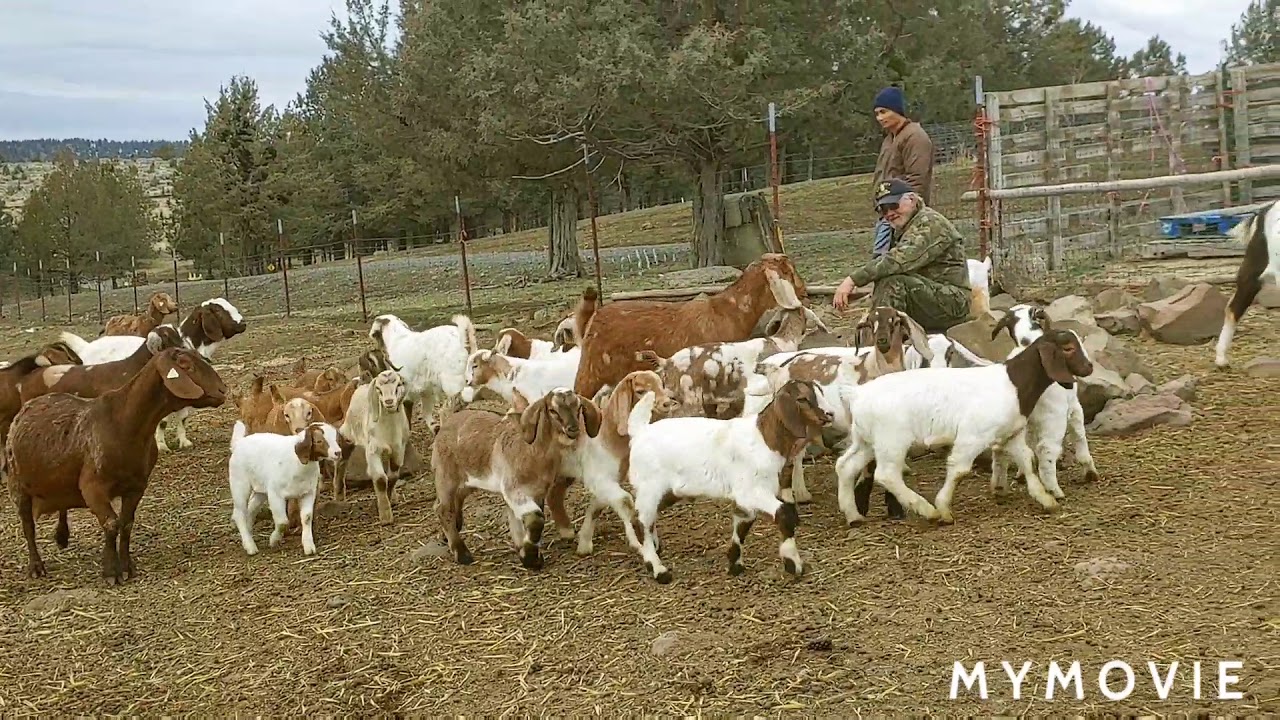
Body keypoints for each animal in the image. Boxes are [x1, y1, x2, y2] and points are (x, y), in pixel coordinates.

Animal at [3, 346, 227, 582]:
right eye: (185, 364)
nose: (223, 390)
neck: (124, 422)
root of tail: (28, 406)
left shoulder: (136, 486)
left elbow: (126, 524)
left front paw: (127, 567)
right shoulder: (92, 487)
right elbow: (111, 524)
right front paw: (111, 571)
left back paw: (62, 537)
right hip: (17, 484)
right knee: (28, 525)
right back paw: (36, 566)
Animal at [227, 420, 341, 556]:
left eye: (335, 437)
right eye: (319, 441)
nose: (338, 452)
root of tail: (238, 443)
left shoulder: (308, 492)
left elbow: (307, 517)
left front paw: (309, 546)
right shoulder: (275, 494)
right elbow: (282, 522)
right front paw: (274, 540)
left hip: (261, 489)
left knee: (251, 508)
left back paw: (247, 538)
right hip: (239, 483)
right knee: (239, 513)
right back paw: (250, 547)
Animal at [431, 387, 600, 570]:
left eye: (579, 407)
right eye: (553, 410)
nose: (573, 429)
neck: (531, 451)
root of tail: (447, 420)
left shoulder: (536, 491)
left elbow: (520, 520)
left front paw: (525, 550)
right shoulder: (514, 489)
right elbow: (535, 520)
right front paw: (531, 559)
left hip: (469, 479)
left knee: (451, 500)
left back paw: (451, 531)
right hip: (446, 474)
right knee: (442, 509)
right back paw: (462, 553)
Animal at [624, 379, 831, 583]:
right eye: (802, 398)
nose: (828, 415)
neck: (764, 438)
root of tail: (640, 431)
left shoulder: (746, 499)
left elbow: (743, 524)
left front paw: (735, 564)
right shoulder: (751, 490)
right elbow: (785, 514)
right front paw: (793, 563)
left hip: (669, 491)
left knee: (647, 519)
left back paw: (655, 548)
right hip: (650, 487)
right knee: (640, 521)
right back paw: (658, 569)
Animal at [833, 330, 1094, 526]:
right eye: (1068, 348)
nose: (1089, 368)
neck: (1014, 383)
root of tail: (857, 394)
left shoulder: (1010, 434)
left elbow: (1027, 460)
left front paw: (1045, 499)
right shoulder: (973, 436)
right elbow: (959, 469)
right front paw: (943, 509)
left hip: (866, 440)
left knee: (845, 466)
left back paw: (853, 516)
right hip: (892, 440)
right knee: (886, 475)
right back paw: (927, 510)